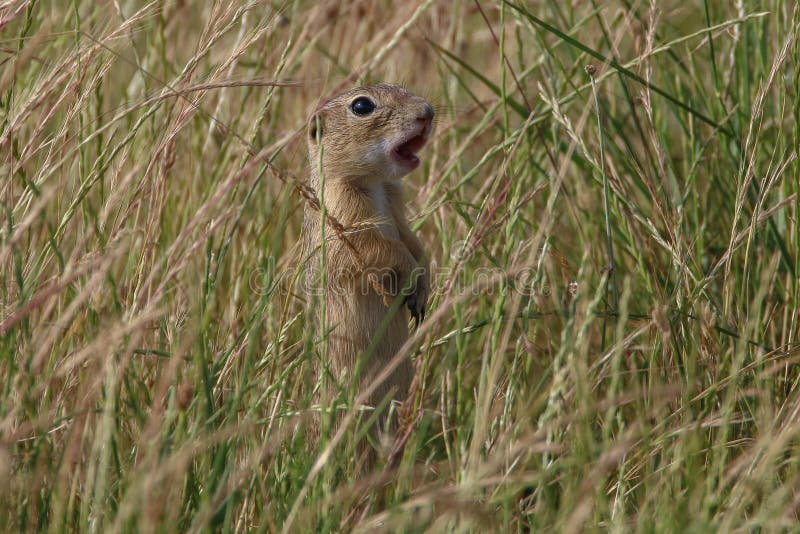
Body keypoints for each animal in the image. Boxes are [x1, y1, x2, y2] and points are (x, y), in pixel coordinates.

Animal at [302, 83, 433, 432]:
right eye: (362, 106)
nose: (428, 111)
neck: (375, 184)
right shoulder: (343, 219)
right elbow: (381, 249)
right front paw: (411, 276)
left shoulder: (397, 207)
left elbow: (414, 243)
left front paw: (423, 286)